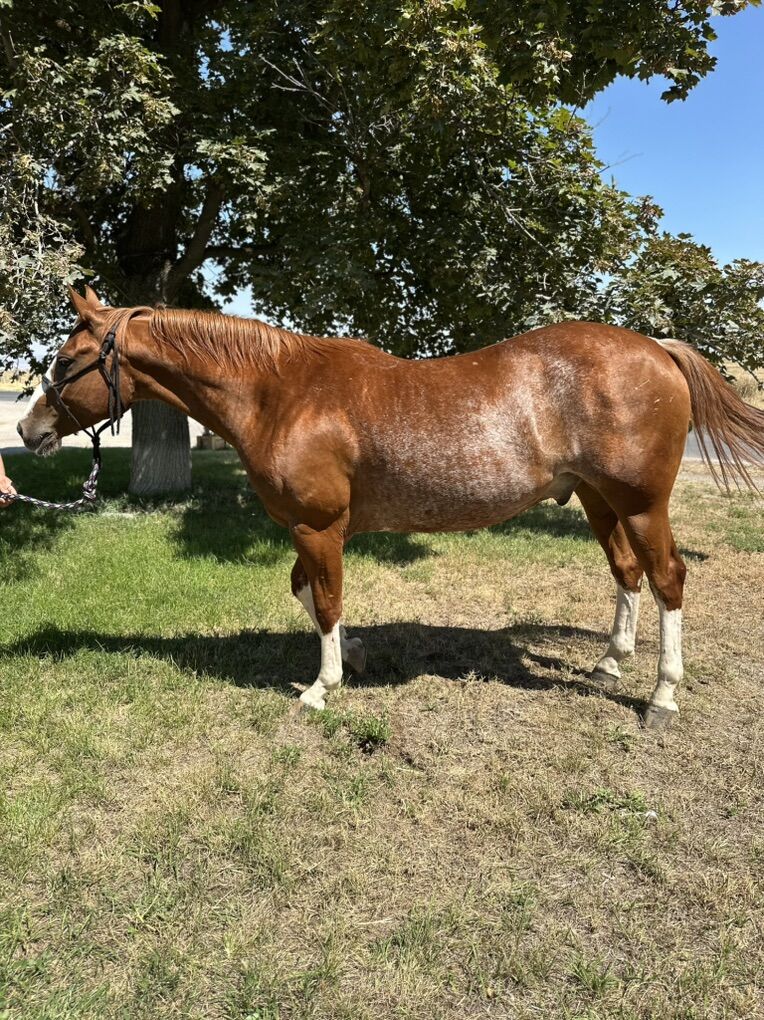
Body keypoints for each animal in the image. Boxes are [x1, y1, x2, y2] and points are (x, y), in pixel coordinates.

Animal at [18, 287, 764, 729]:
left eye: (64, 361)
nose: (28, 431)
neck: (279, 391)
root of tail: (655, 347)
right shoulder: (311, 530)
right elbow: (307, 593)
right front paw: (355, 656)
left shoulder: (318, 526)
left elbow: (324, 599)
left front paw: (322, 686)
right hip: (596, 500)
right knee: (627, 574)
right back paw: (611, 661)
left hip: (641, 505)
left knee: (667, 579)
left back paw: (661, 696)